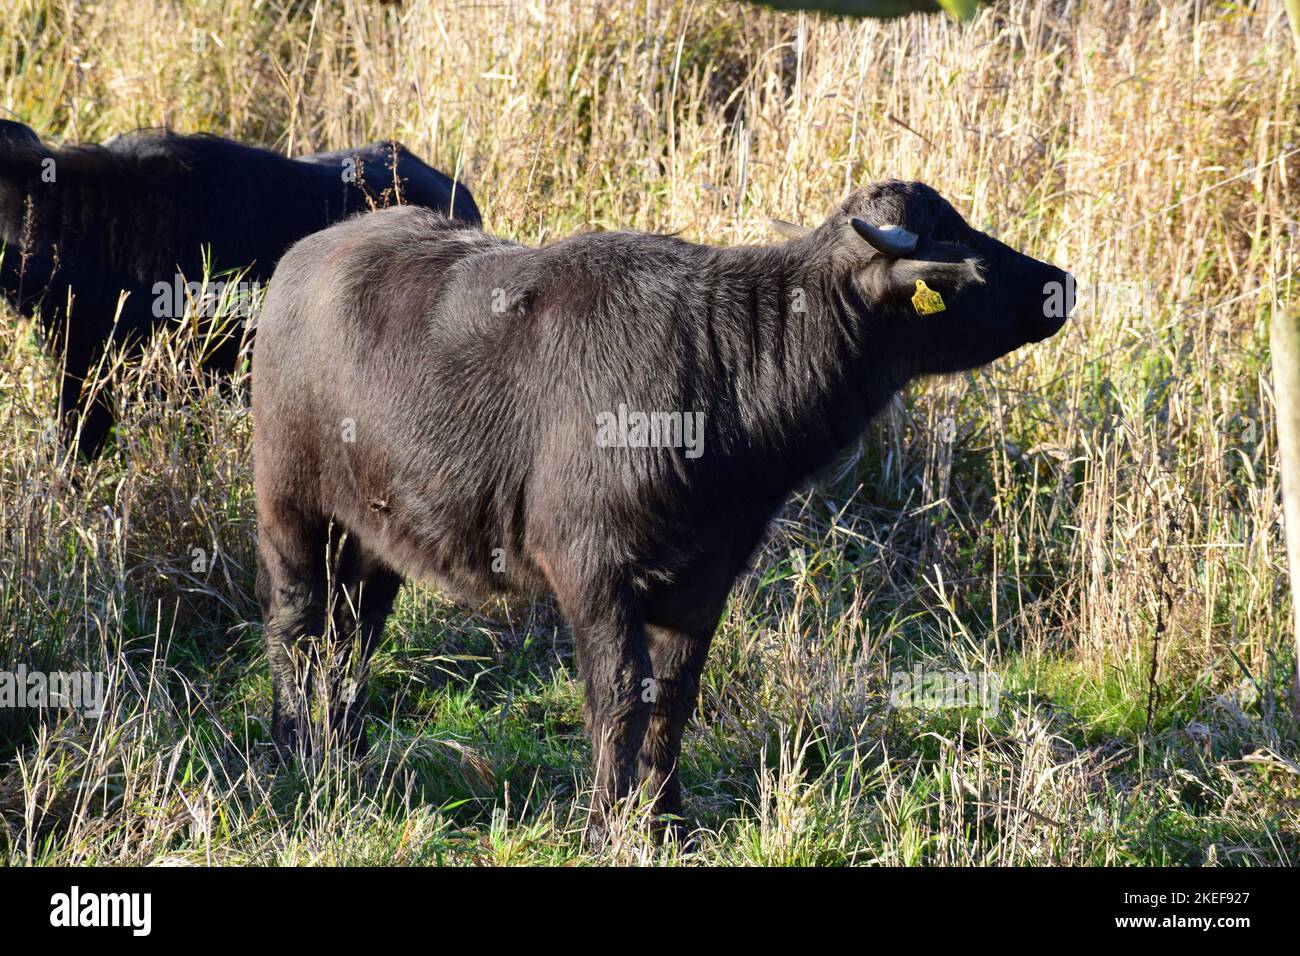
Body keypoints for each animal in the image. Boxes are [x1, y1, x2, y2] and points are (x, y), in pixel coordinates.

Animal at [251, 179, 1074, 839]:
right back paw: (293, 748)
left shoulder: (706, 578)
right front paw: (604, 824)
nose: (1060, 281)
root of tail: (298, 262)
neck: (718, 373)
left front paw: (667, 817)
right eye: (958, 246)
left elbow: (674, 698)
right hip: (288, 506)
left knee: (354, 635)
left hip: (377, 532)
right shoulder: (592, 572)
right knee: (296, 622)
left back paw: (348, 748)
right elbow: (617, 697)